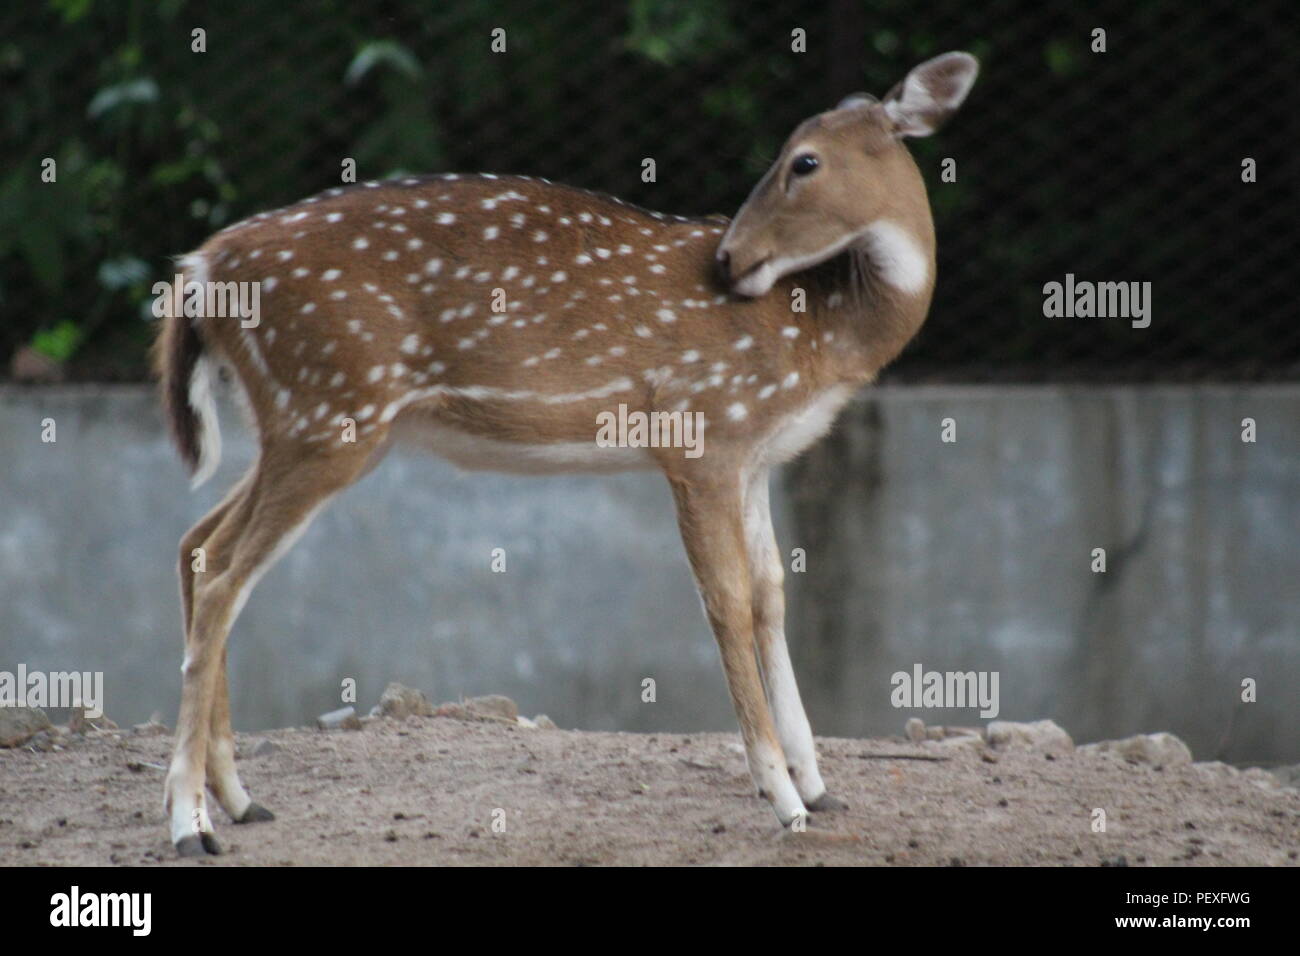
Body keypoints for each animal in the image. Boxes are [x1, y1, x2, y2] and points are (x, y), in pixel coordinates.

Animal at [153, 52, 978, 855]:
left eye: (805, 161)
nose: (728, 258)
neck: (820, 332)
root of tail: (200, 271)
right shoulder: (700, 431)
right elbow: (726, 602)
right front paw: (782, 800)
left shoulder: (754, 455)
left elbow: (772, 594)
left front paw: (818, 785)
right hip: (330, 410)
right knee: (224, 577)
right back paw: (191, 824)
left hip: (306, 423)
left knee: (198, 543)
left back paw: (240, 800)